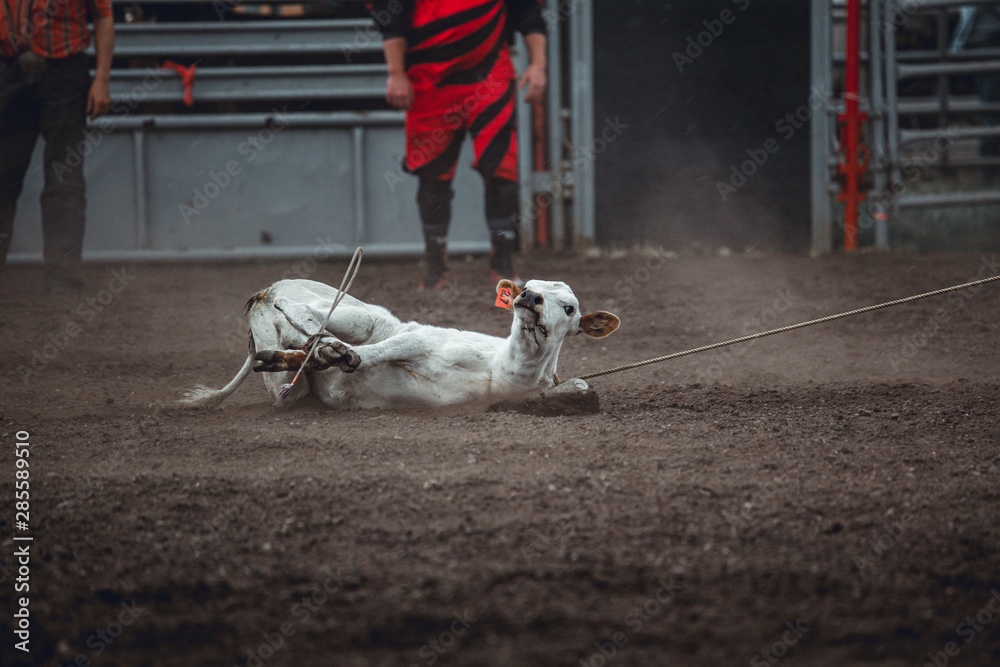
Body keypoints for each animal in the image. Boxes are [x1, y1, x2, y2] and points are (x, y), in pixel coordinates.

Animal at [180, 278, 620, 410]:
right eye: (527, 284)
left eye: (569, 307)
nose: (529, 297)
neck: (499, 368)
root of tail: (266, 289)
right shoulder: (417, 338)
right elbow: (375, 353)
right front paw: (338, 354)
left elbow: (577, 386)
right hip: (359, 314)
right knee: (303, 312)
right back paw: (318, 341)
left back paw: (298, 352)